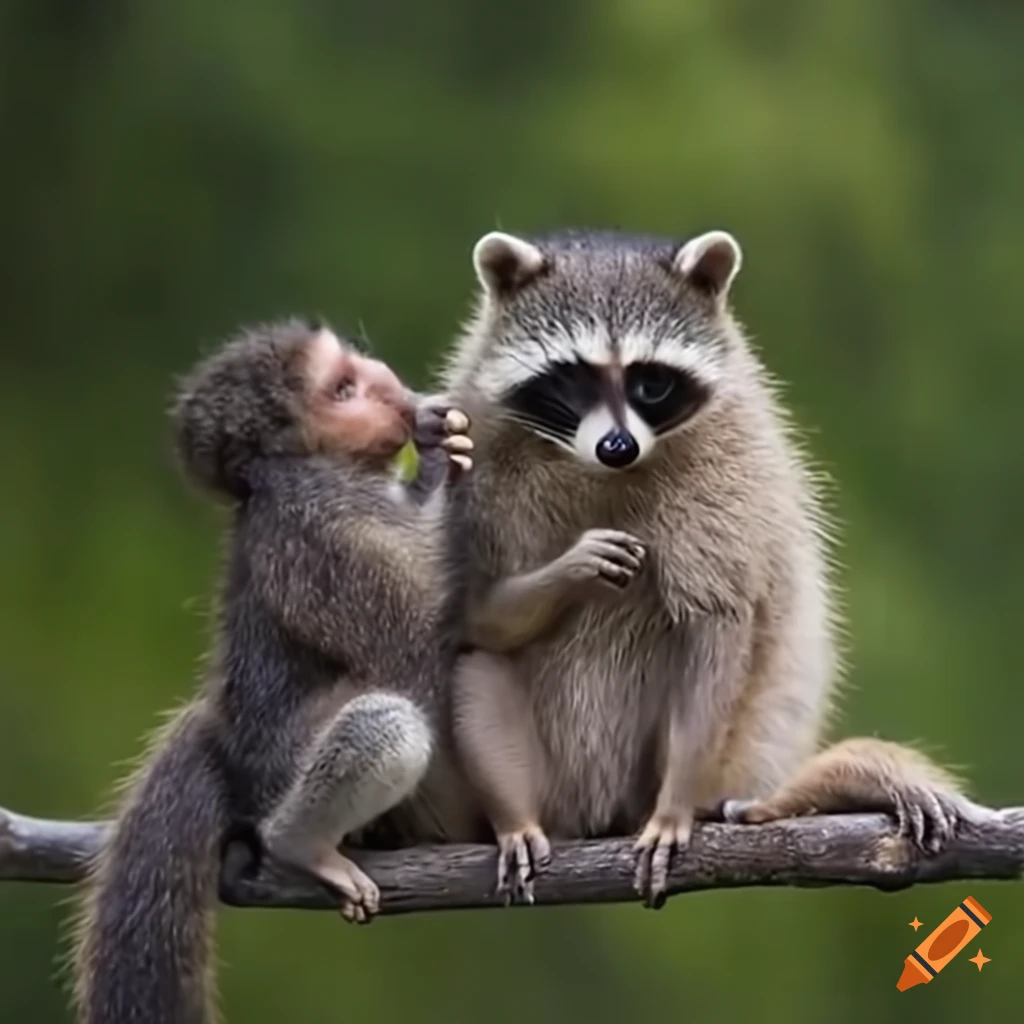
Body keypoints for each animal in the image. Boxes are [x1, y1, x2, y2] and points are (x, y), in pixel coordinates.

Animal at [70, 318, 479, 1024]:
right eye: (343, 389)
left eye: (358, 364)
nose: (390, 388)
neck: (320, 466)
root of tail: (228, 743)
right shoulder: (313, 519)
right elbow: (414, 631)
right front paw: (438, 463)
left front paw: (436, 439)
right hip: (287, 765)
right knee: (389, 719)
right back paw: (301, 845)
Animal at [440, 227, 978, 908]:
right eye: (574, 380)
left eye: (650, 383)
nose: (618, 447)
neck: (599, 469)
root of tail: (592, 814)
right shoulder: (477, 466)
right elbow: (482, 615)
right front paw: (573, 567)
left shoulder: (725, 473)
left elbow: (718, 622)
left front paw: (675, 807)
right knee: (473, 663)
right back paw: (516, 816)